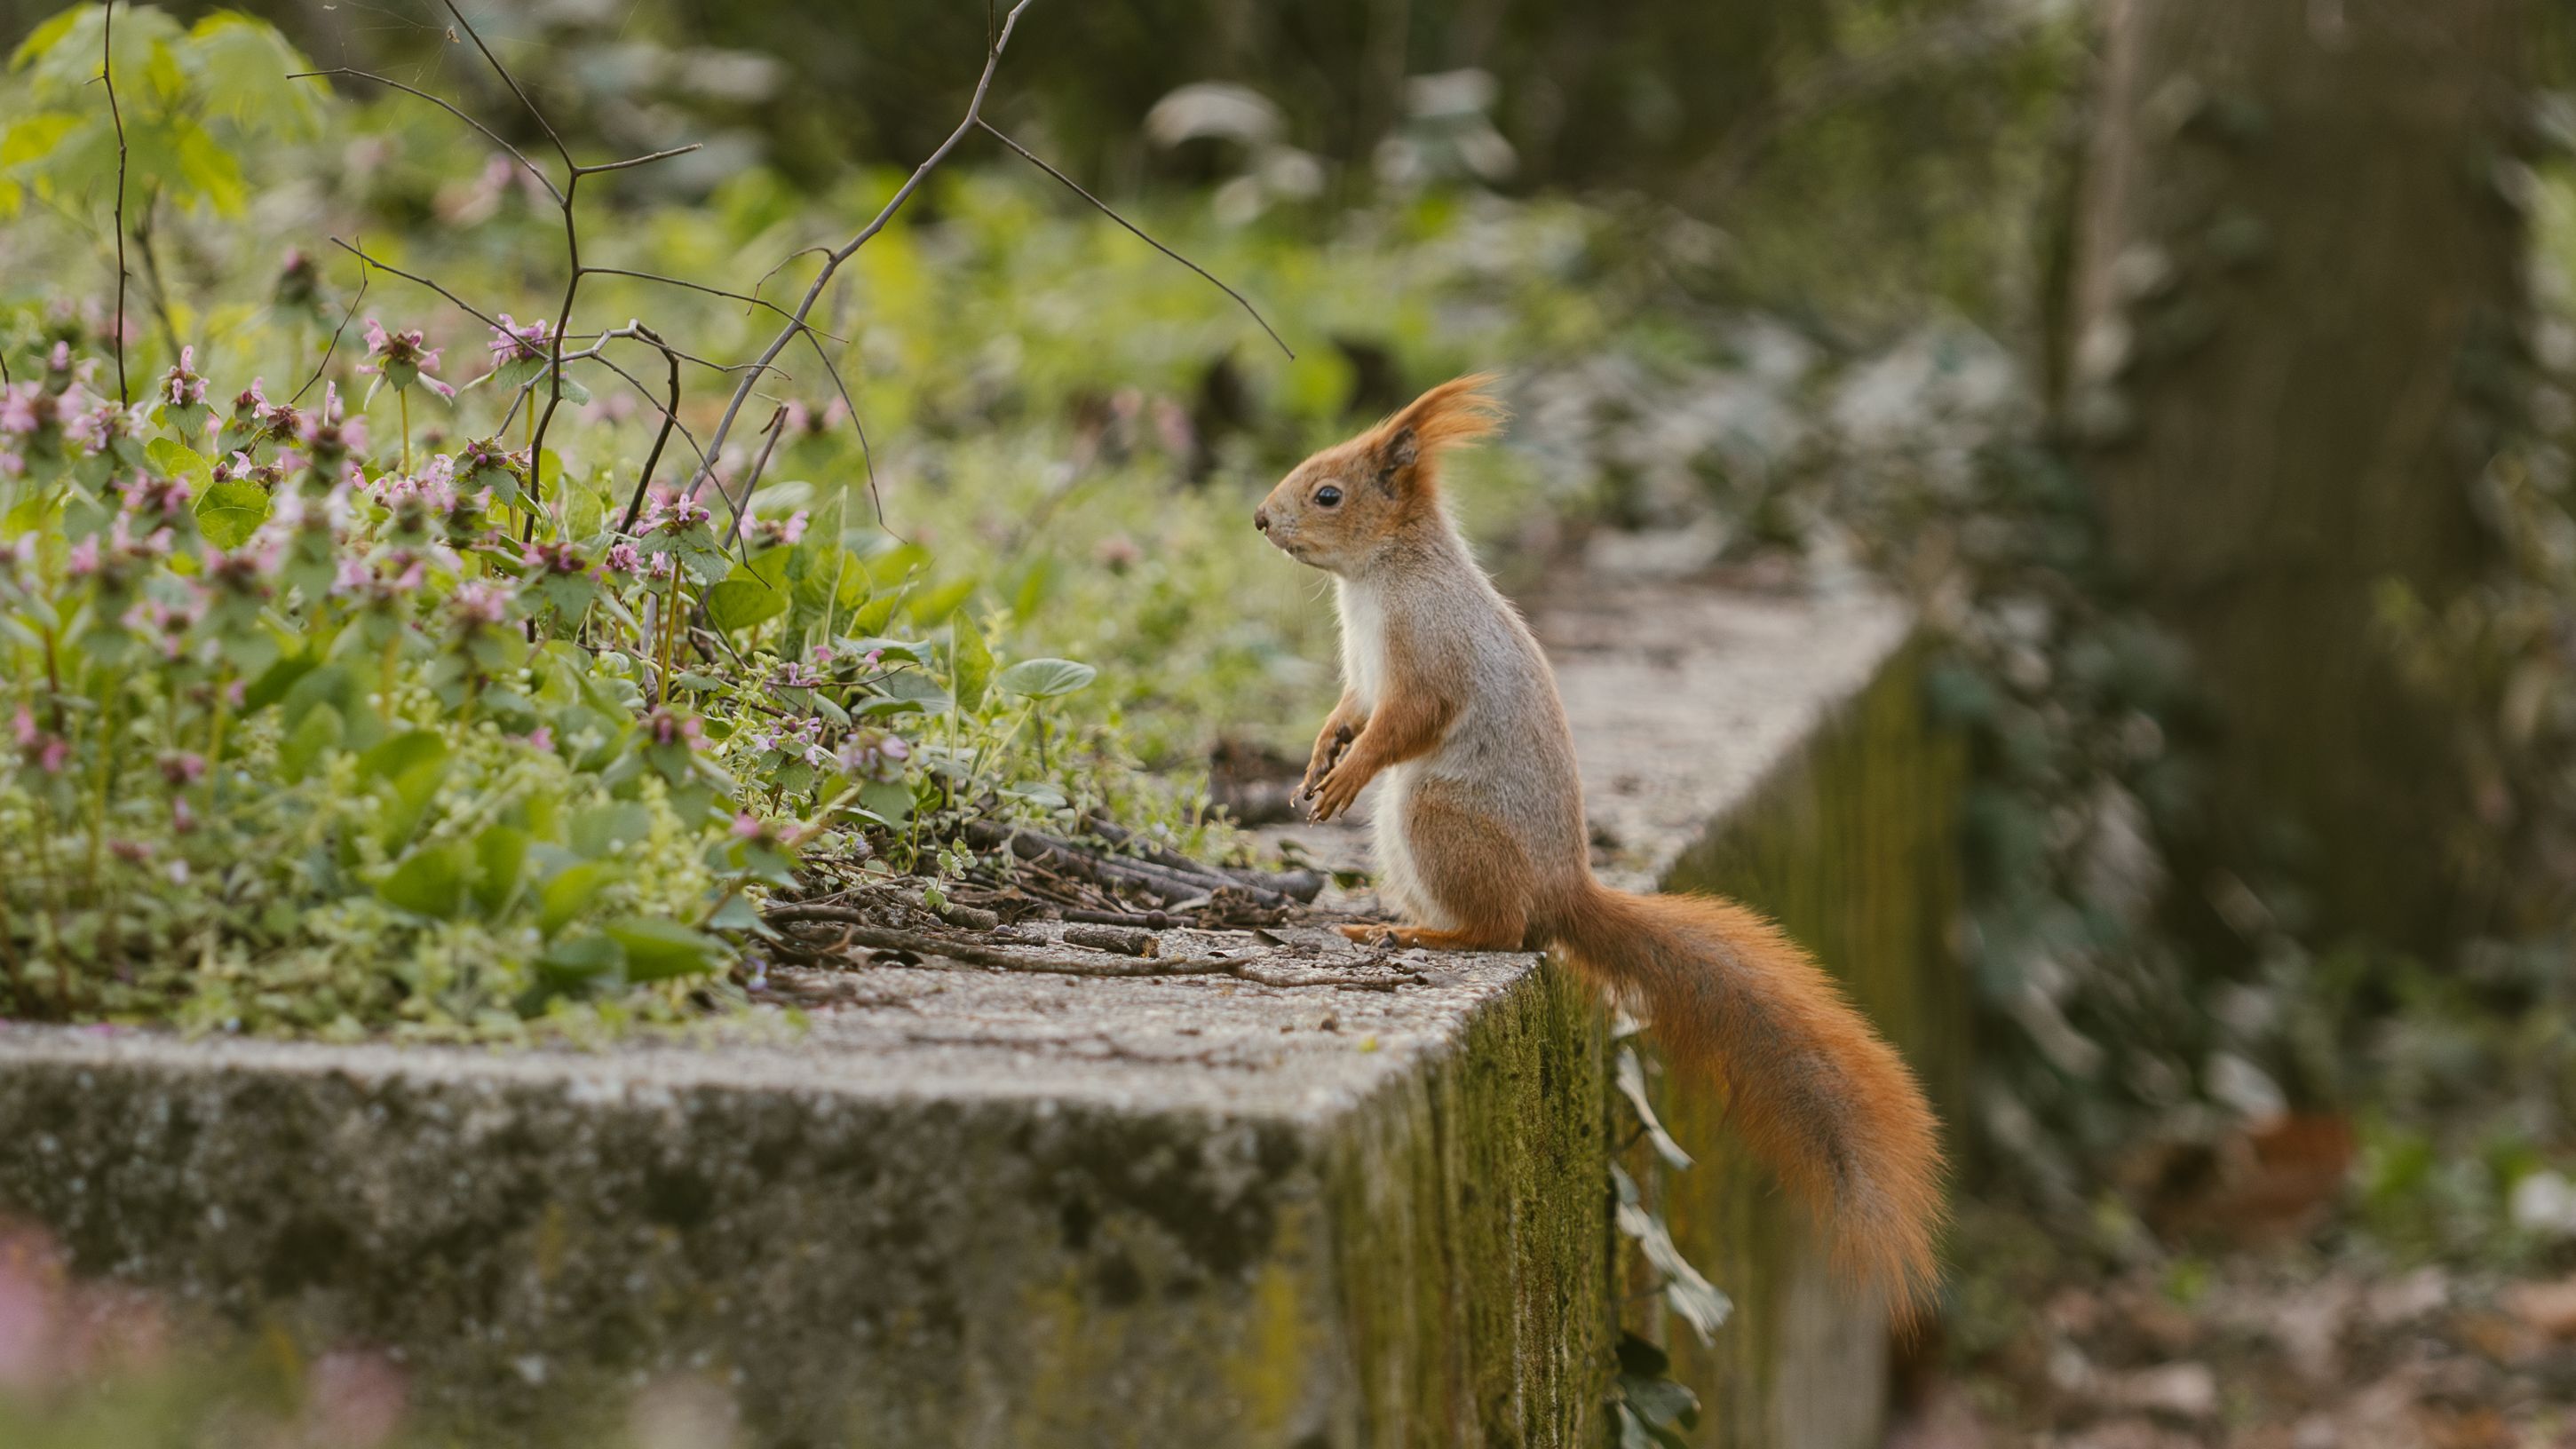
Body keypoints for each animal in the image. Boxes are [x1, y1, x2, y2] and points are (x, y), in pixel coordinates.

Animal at [1253, 374, 1944, 1314]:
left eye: (1327, 494)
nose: (1260, 518)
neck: (1377, 580)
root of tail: (1565, 892)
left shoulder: (1428, 652)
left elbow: (1406, 720)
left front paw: (1347, 774)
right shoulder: (1361, 672)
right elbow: (1350, 711)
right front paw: (1318, 762)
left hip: (1433, 819)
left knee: (1502, 931)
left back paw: (1417, 932)